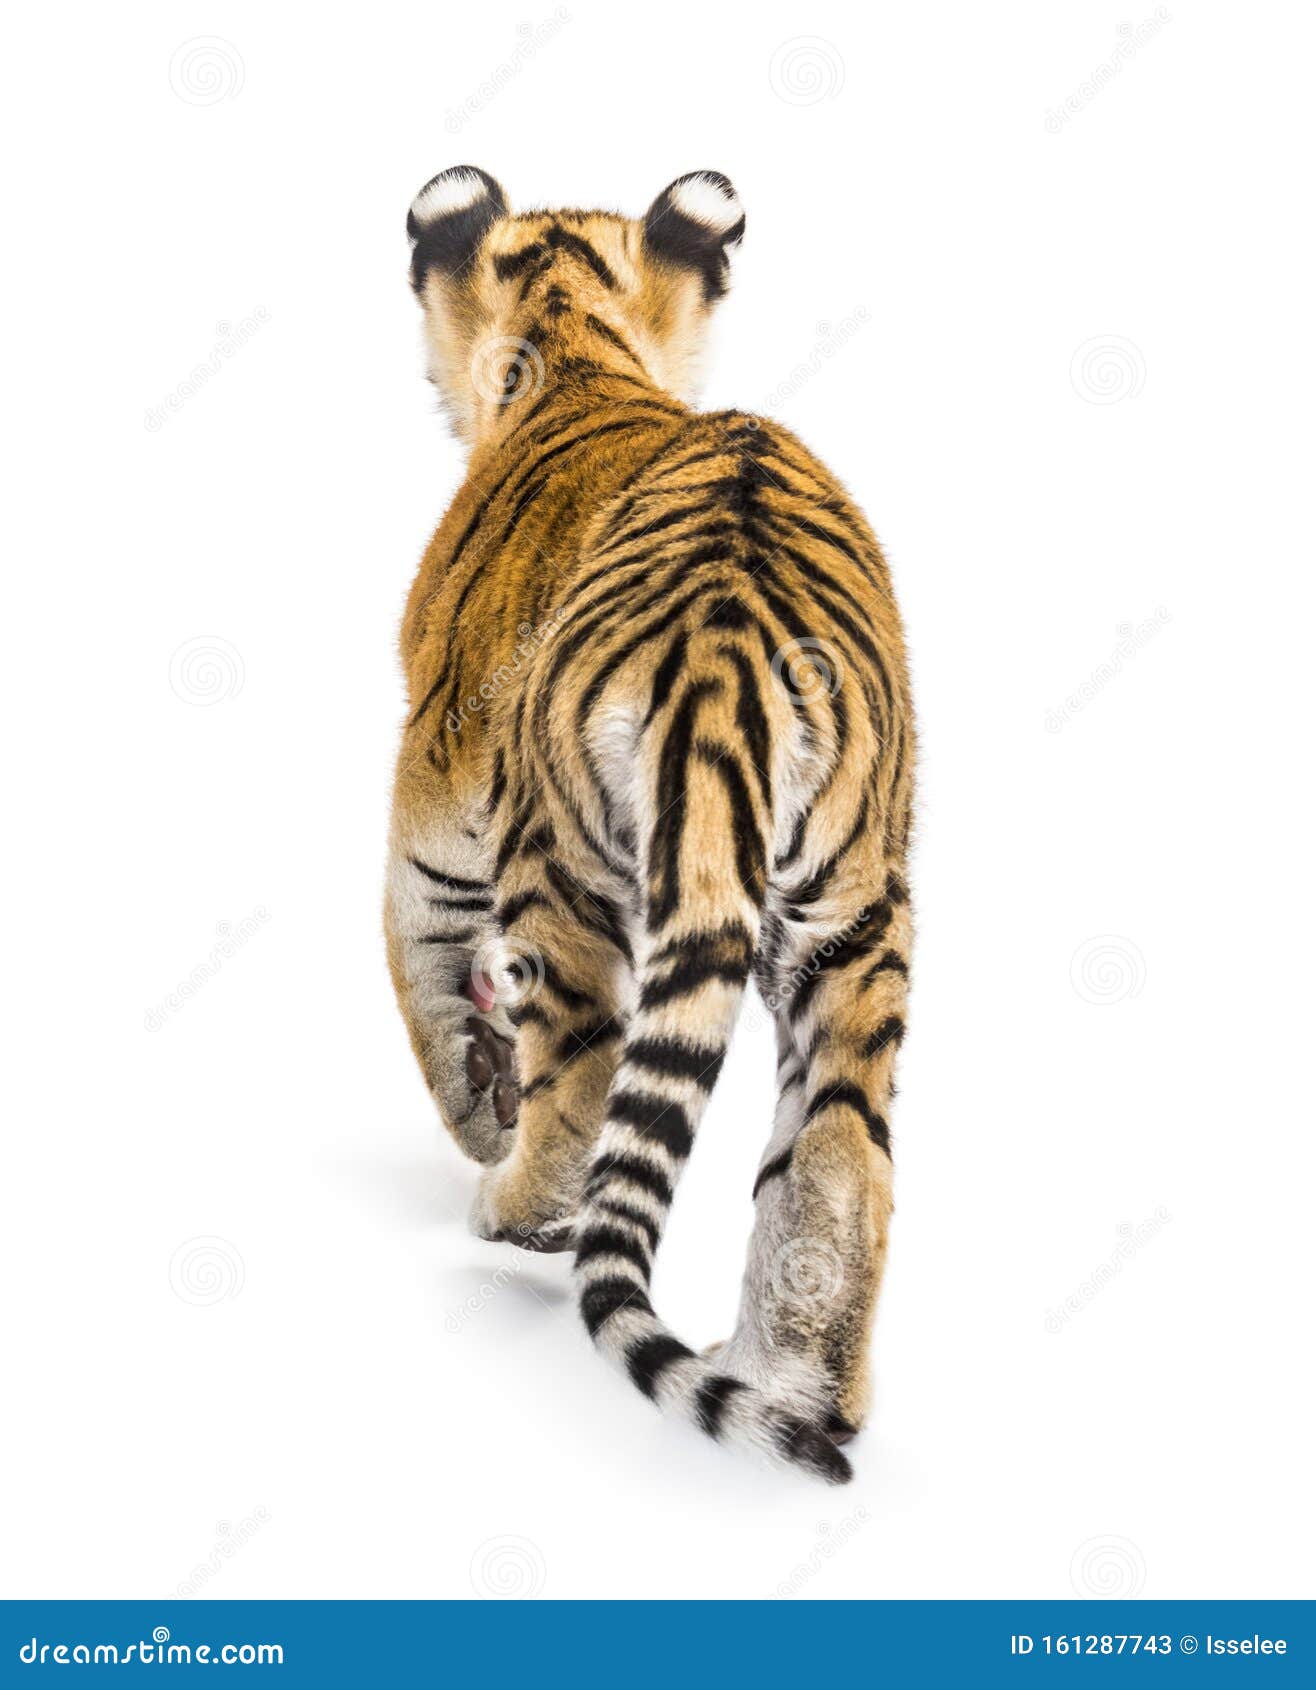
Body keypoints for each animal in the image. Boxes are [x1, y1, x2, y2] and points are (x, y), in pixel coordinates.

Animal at [386, 166, 914, 1484]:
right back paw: (805, 1395)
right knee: (839, 1160)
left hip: (560, 863)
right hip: (853, 916)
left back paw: (510, 1202)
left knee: (583, 1087)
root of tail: (729, 650)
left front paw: (477, 1104)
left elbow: (419, 975)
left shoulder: (433, 804)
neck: (576, 343)